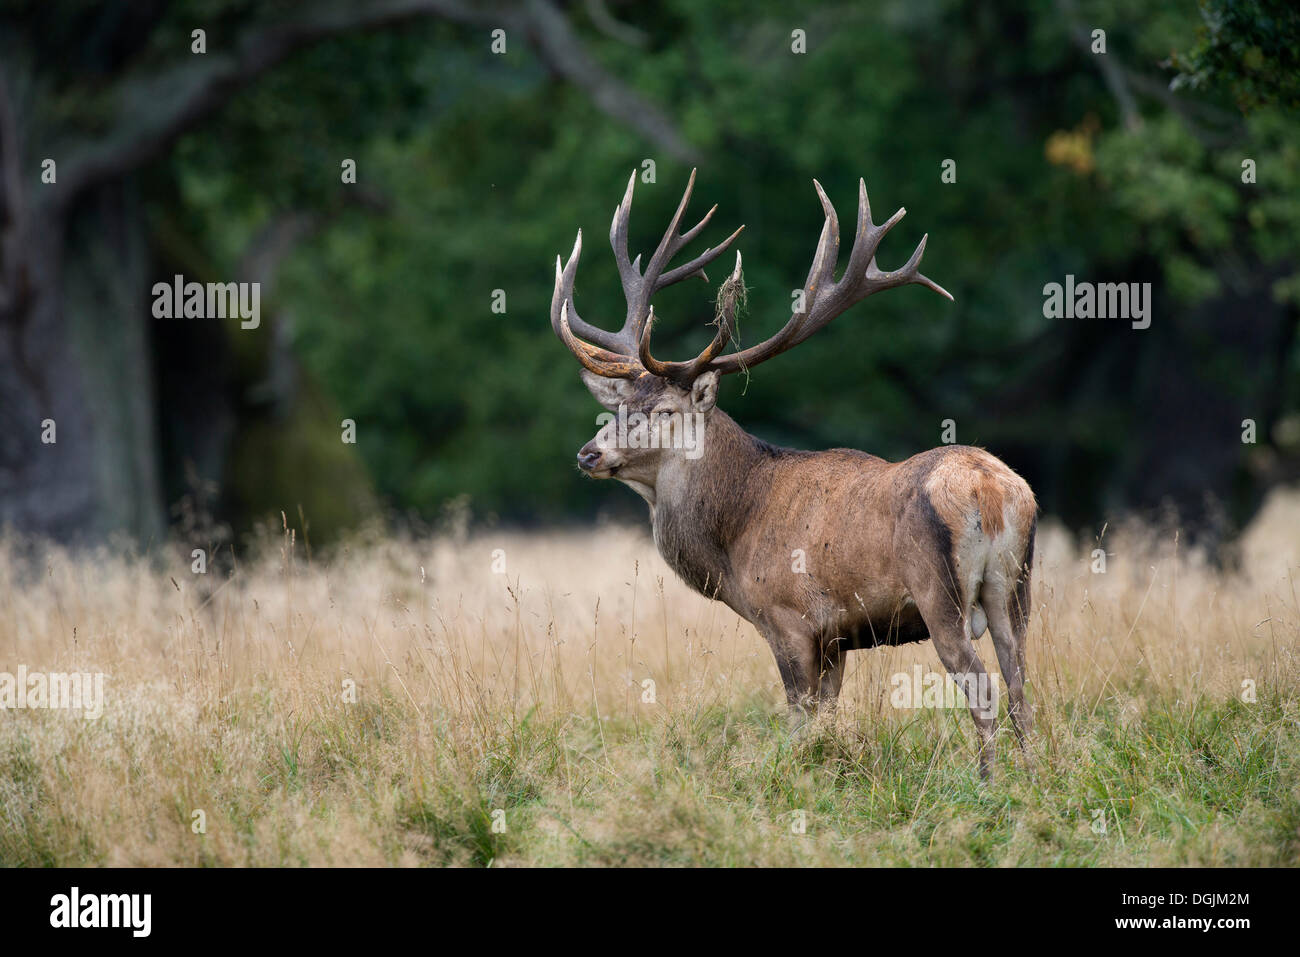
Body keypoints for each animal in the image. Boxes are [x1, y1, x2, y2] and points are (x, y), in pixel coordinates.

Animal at [550, 170, 1037, 779]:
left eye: (662, 411)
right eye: (616, 408)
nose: (588, 454)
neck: (735, 537)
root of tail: (993, 492)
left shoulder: (789, 619)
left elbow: (799, 719)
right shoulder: (836, 638)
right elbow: (827, 716)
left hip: (939, 594)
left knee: (982, 685)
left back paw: (988, 781)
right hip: (1013, 588)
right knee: (1021, 685)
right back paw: (1035, 775)